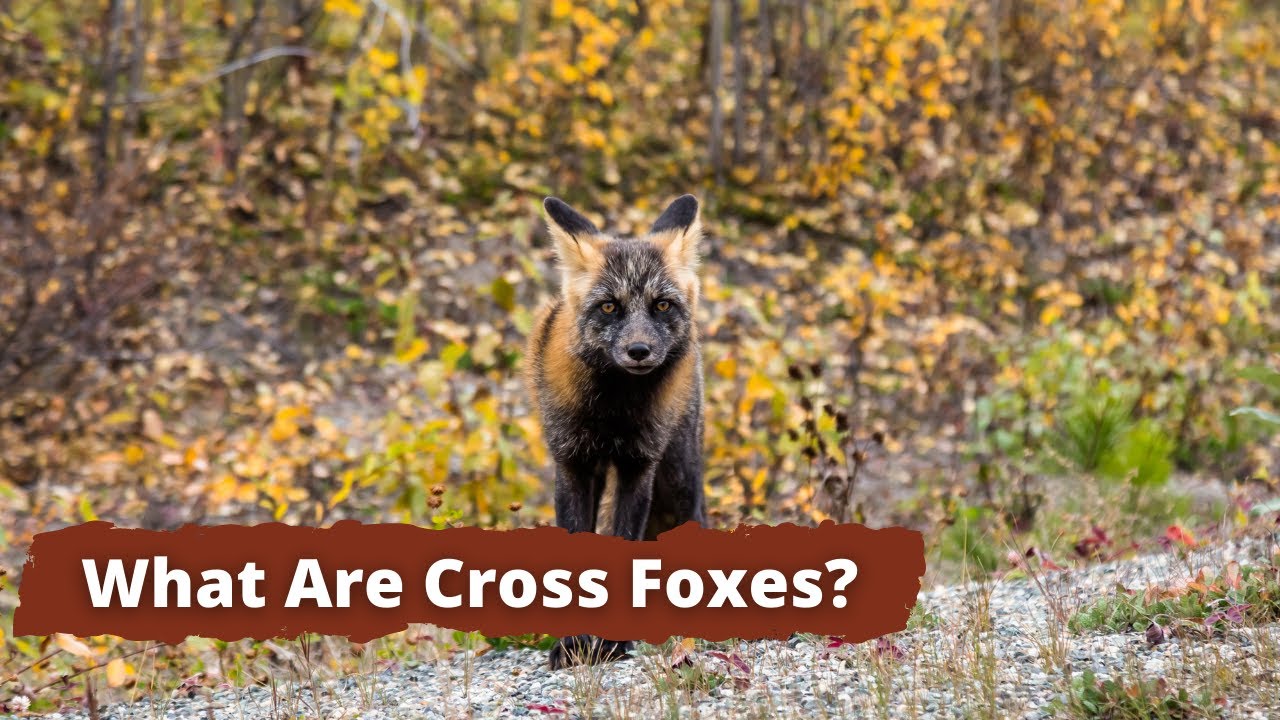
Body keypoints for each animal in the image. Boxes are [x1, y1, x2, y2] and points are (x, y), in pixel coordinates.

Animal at [526, 194, 708, 669]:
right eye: (609, 306)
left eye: (662, 305)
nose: (639, 350)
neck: (614, 412)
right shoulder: (573, 465)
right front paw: (573, 643)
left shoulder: (638, 467)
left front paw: (611, 642)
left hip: (680, 472)